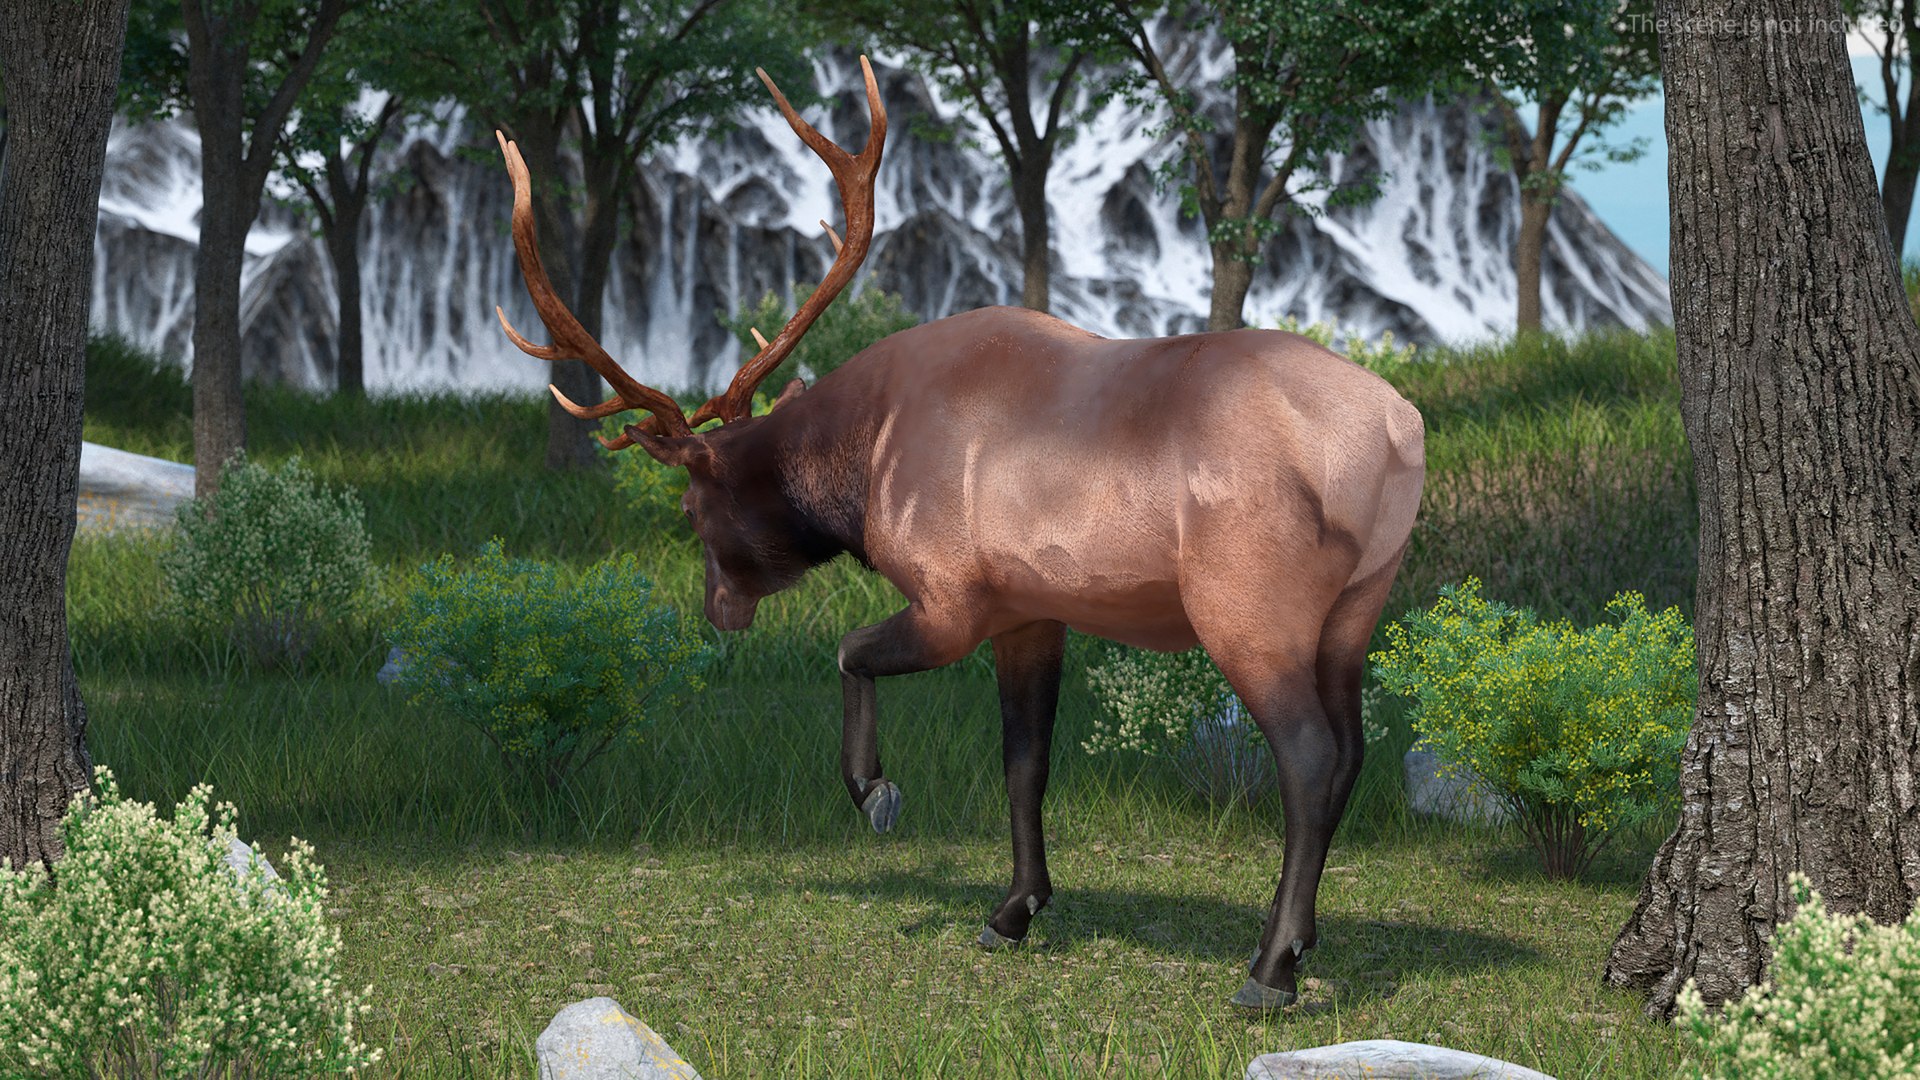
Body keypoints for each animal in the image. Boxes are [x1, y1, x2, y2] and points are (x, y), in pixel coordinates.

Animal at [493, 56, 1425, 1012]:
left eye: (690, 509)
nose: (718, 609)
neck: (861, 466)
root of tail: (1397, 432)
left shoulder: (954, 599)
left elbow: (849, 651)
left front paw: (874, 791)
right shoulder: (1029, 609)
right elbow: (1025, 762)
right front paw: (1014, 909)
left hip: (1250, 606)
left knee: (1308, 756)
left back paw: (1269, 969)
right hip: (1357, 606)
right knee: (1352, 752)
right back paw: (1297, 941)